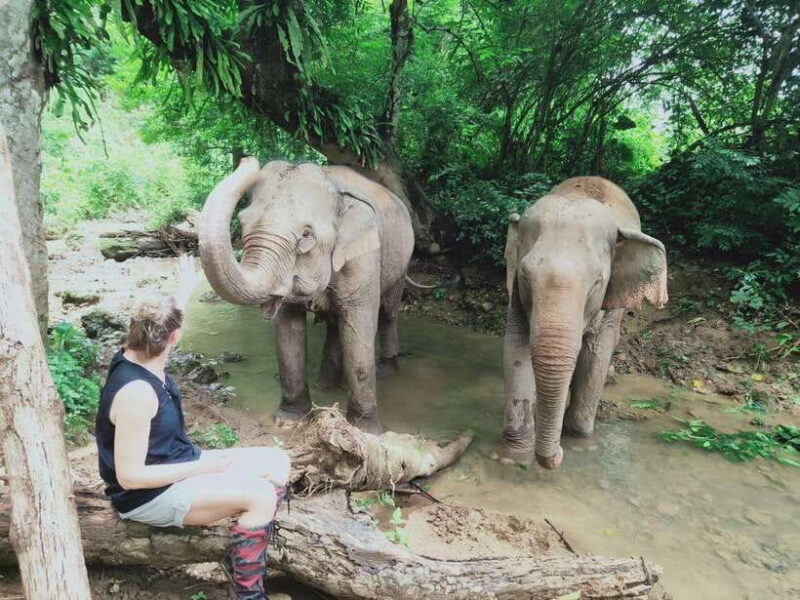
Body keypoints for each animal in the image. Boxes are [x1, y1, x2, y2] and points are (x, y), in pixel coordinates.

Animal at [198, 157, 415, 434]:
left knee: (387, 312)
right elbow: (288, 331)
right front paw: (288, 422)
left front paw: (365, 431)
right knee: (334, 324)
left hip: (402, 261)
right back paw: (328, 384)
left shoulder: (364, 256)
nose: (248, 160)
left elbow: (359, 326)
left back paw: (386, 371)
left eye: (306, 234)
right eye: (243, 221)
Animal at [496, 176, 668, 469]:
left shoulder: (608, 302)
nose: (557, 455)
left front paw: (579, 441)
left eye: (597, 282)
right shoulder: (516, 292)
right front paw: (514, 455)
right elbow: (516, 348)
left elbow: (595, 355)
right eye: (525, 275)